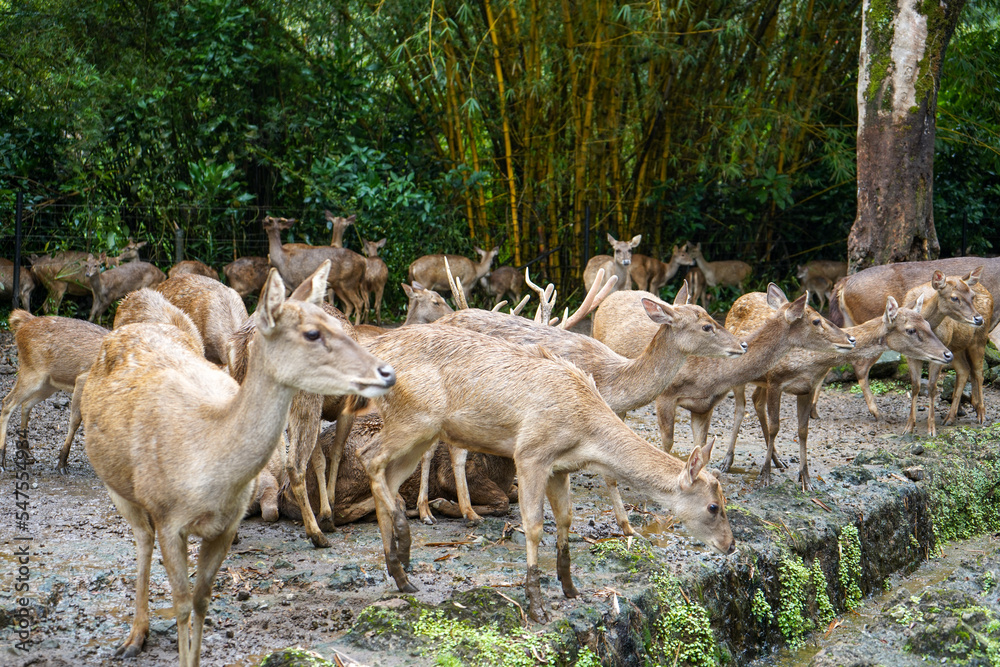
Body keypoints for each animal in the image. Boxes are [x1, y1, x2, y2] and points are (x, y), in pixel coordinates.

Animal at [0, 310, 108, 471]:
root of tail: (24, 322)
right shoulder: (83, 379)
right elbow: (75, 420)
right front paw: (62, 463)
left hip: (48, 384)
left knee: (26, 404)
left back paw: (26, 453)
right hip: (32, 372)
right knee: (7, 402)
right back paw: (3, 460)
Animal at [355, 323, 734, 624]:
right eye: (714, 506)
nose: (730, 545)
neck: (584, 433)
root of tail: (380, 348)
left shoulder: (560, 468)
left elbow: (566, 519)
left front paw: (571, 589)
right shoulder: (531, 453)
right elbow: (534, 525)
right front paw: (537, 606)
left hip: (421, 431)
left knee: (386, 474)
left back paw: (401, 572)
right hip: (415, 419)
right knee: (368, 456)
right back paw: (405, 537)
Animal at [594, 285, 856, 454]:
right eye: (816, 320)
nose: (850, 338)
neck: (707, 379)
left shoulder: (706, 405)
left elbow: (700, 447)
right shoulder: (665, 397)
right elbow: (667, 443)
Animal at [722, 295, 952, 490]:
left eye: (928, 324)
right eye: (911, 330)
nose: (948, 354)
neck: (812, 362)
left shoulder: (806, 387)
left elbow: (803, 431)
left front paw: (806, 480)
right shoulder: (775, 381)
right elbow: (775, 427)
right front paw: (765, 477)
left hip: (759, 382)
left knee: (756, 402)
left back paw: (779, 460)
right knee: (740, 408)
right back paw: (727, 460)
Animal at [901, 268, 991, 436]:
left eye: (972, 296)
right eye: (954, 297)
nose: (979, 319)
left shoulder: (940, 355)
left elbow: (932, 387)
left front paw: (931, 429)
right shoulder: (910, 355)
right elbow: (915, 386)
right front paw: (909, 426)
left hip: (978, 339)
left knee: (978, 372)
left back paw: (981, 414)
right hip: (956, 346)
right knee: (964, 370)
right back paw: (950, 417)